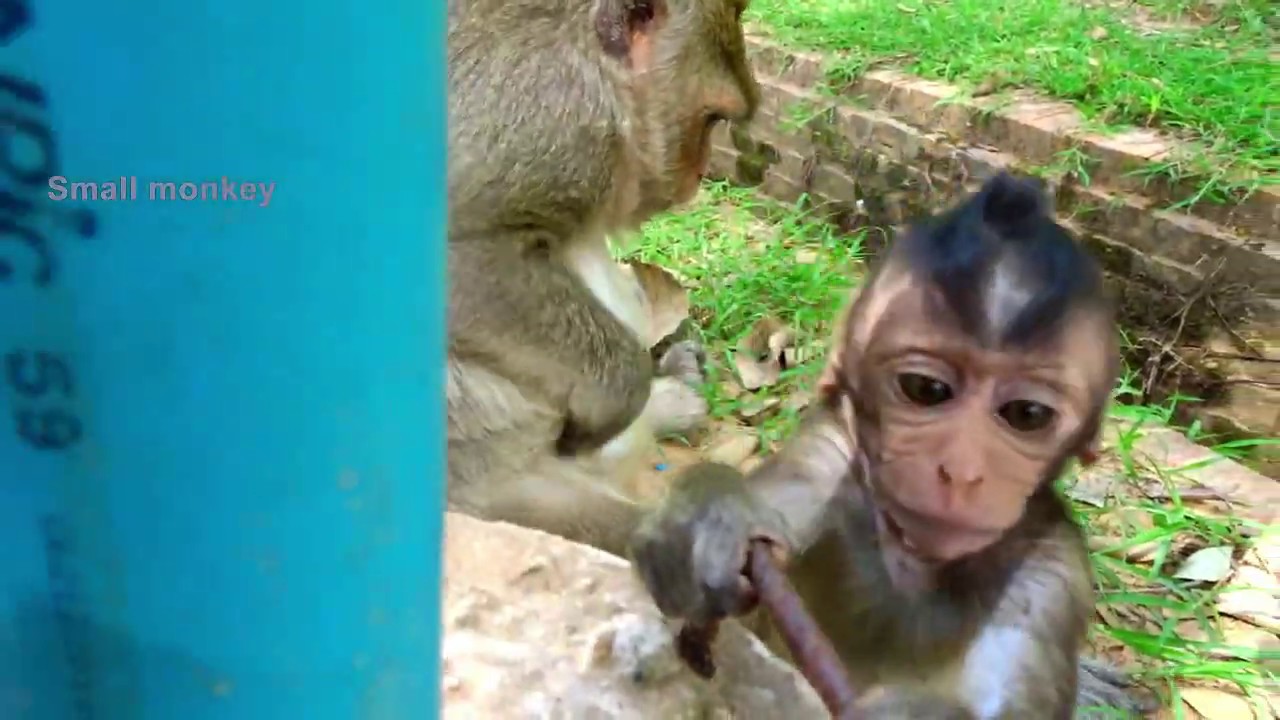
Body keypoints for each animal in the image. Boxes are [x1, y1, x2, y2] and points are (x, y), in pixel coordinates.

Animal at [630, 173, 1149, 719]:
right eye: (926, 389)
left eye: (1027, 415)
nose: (961, 471)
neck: (916, 560)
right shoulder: (832, 450)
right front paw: (710, 515)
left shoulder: (1055, 575)